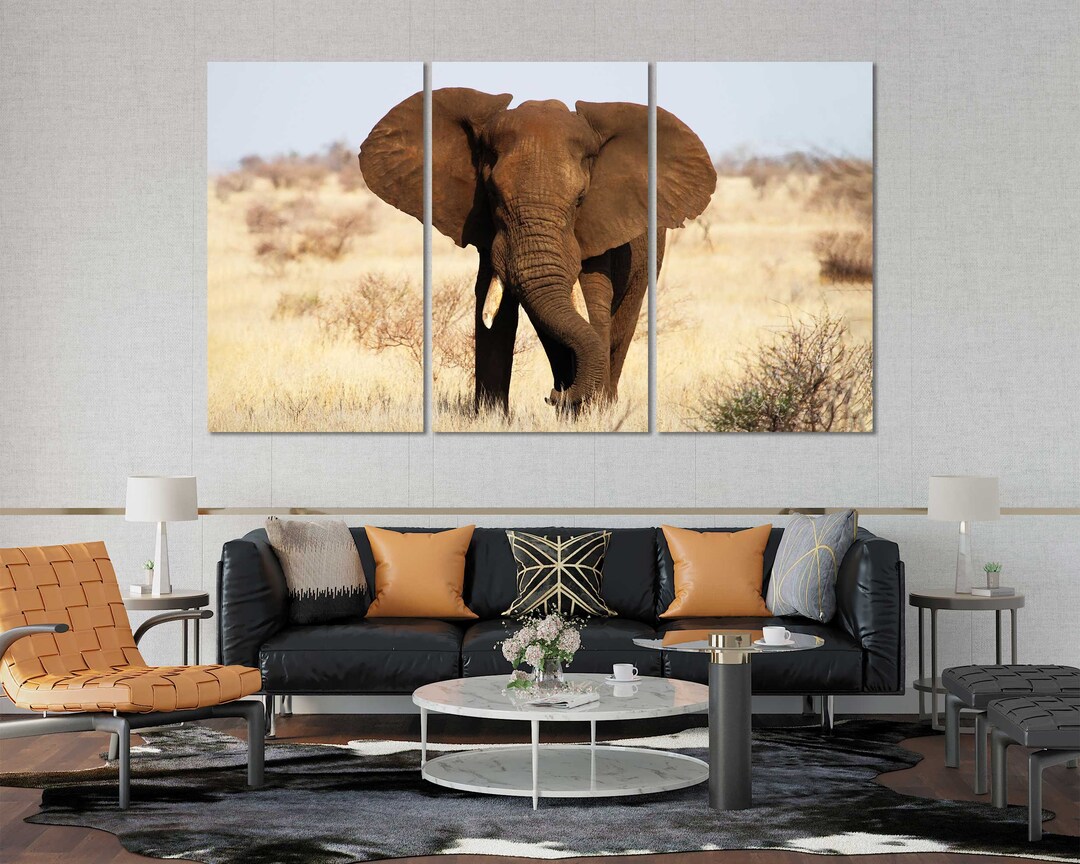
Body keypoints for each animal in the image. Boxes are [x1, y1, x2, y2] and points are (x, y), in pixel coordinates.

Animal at [359, 87, 716, 414]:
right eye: (492, 194)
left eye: (580, 199)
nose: (552, 396)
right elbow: (494, 308)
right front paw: (492, 417)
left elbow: (593, 303)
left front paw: (589, 412)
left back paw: (599, 403)